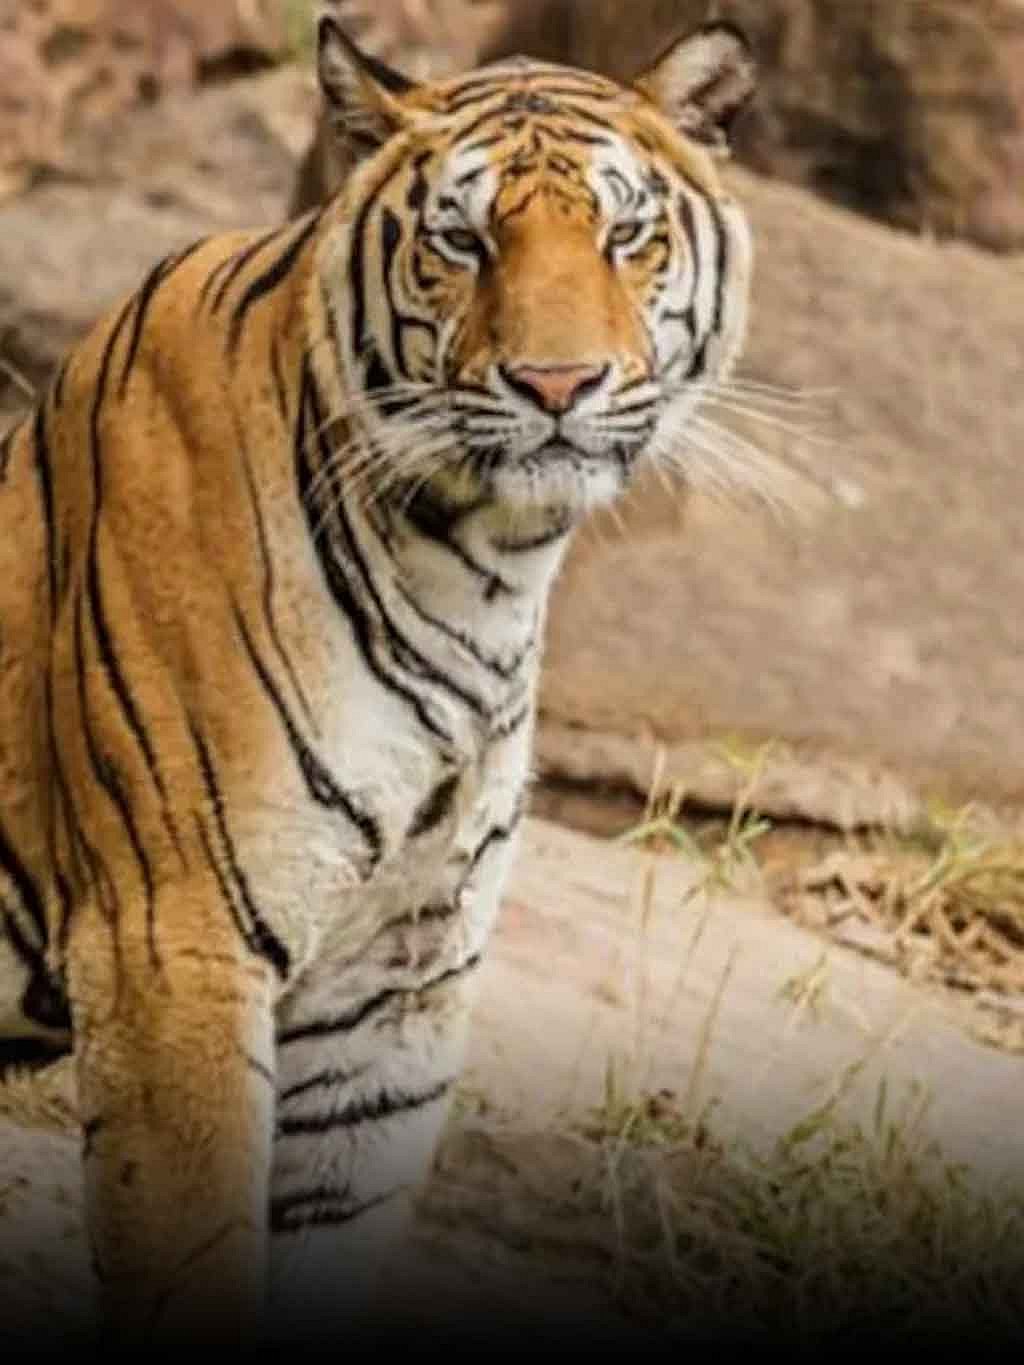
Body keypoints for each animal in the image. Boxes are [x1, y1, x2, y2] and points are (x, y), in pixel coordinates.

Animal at [0, 7, 756, 1348]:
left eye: (625, 235)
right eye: (464, 239)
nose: (557, 387)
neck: (479, 573)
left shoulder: (392, 998)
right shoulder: (170, 945)